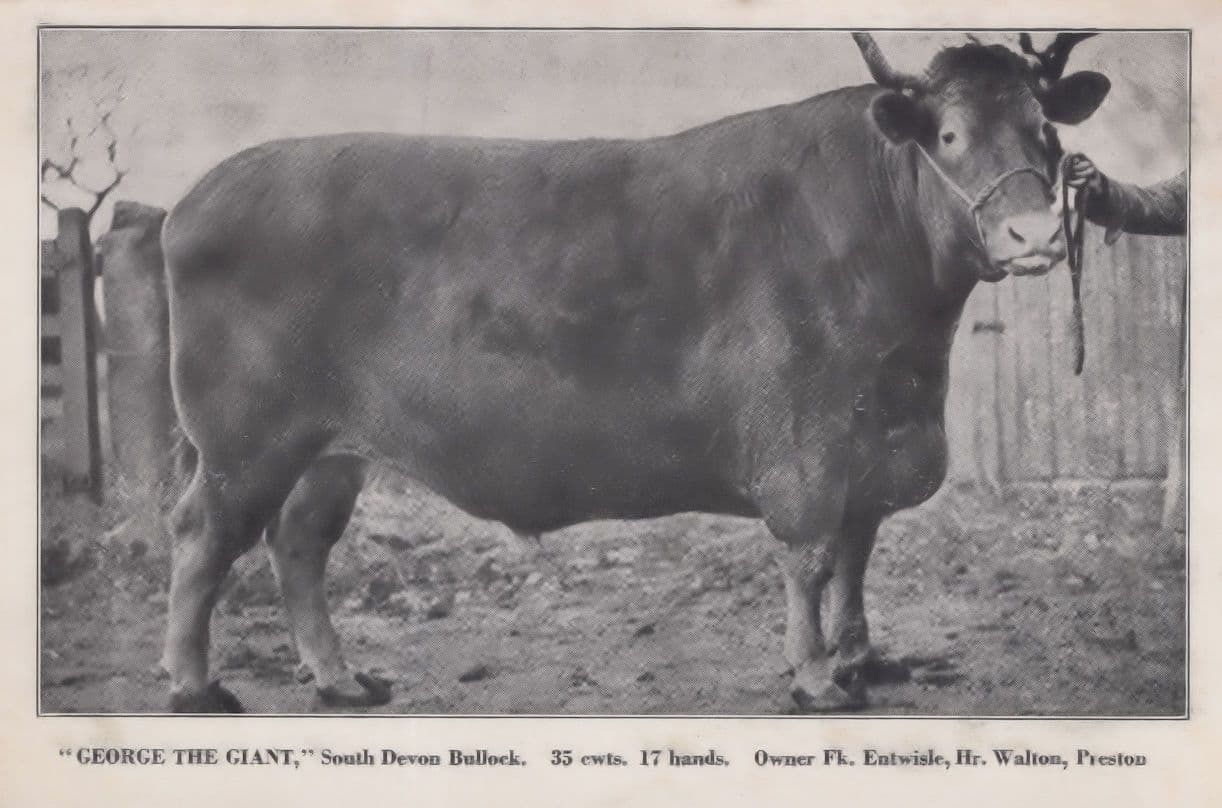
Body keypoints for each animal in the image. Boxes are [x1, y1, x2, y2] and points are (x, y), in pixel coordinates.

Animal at [159, 33, 1109, 713]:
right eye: (949, 135)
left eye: (1046, 132)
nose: (1033, 235)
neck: (911, 360)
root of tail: (199, 194)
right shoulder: (804, 445)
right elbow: (809, 556)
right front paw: (812, 678)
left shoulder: (871, 452)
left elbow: (856, 551)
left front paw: (859, 660)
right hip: (243, 441)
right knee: (204, 537)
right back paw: (195, 686)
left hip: (330, 447)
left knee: (298, 543)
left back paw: (340, 679)